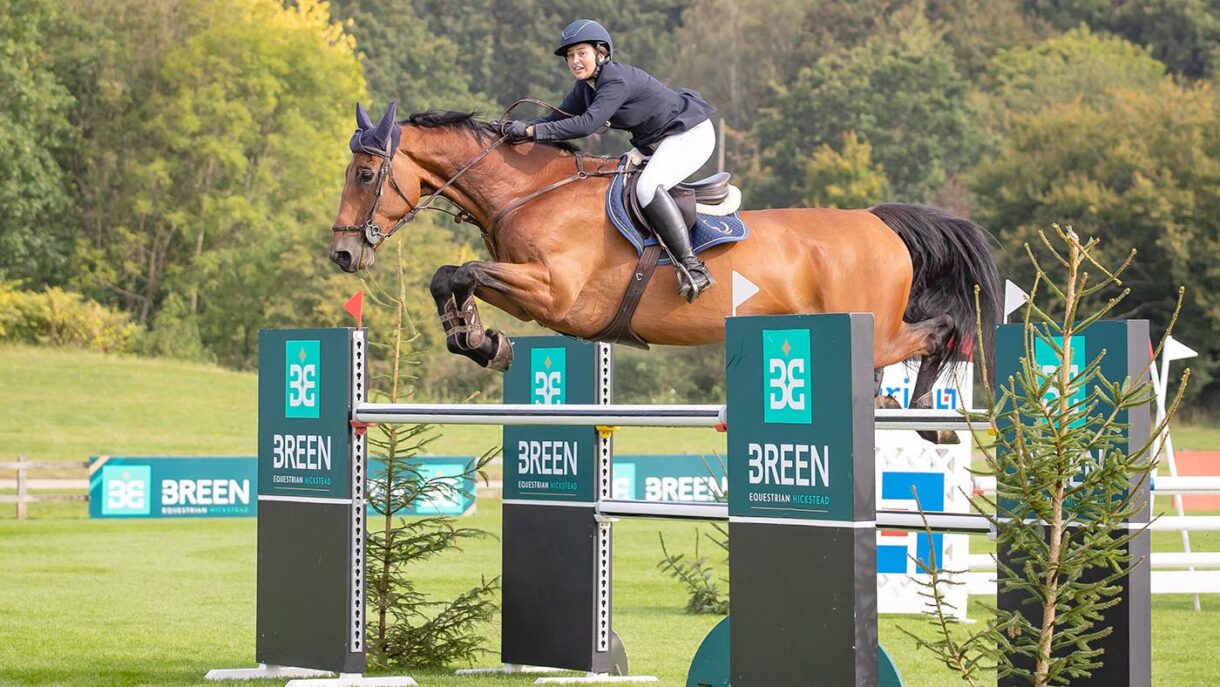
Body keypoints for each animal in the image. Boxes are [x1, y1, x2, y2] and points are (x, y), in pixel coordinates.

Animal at [329, 104, 1003, 420]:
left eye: (364, 174)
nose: (342, 252)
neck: (531, 191)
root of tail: (877, 221)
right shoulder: (532, 293)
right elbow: (450, 276)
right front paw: (476, 337)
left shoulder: (554, 295)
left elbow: (462, 271)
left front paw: (481, 340)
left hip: (875, 327)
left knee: (940, 331)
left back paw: (922, 408)